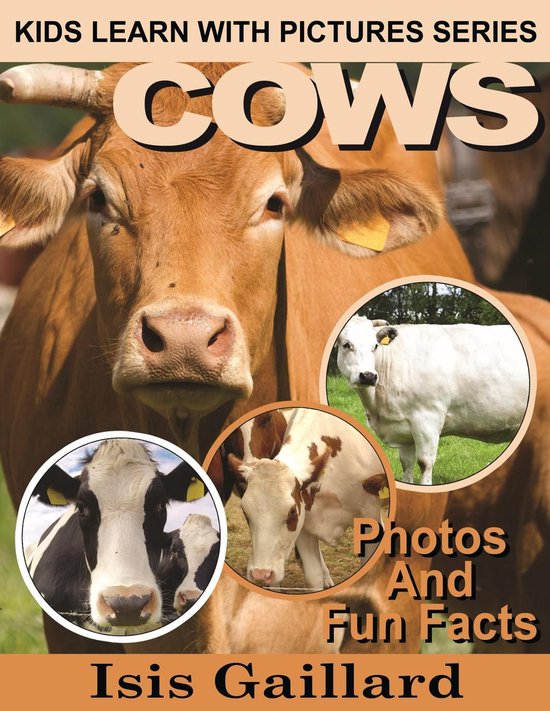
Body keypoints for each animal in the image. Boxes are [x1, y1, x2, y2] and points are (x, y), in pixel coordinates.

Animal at [227, 408, 389, 590]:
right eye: (245, 511)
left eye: (291, 512)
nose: (261, 574)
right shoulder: (304, 526)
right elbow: (313, 576)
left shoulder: (369, 515)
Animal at [336, 315, 530, 485]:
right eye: (347, 345)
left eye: (375, 346)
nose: (368, 376)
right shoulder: (404, 429)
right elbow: (406, 464)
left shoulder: (427, 418)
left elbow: (424, 463)